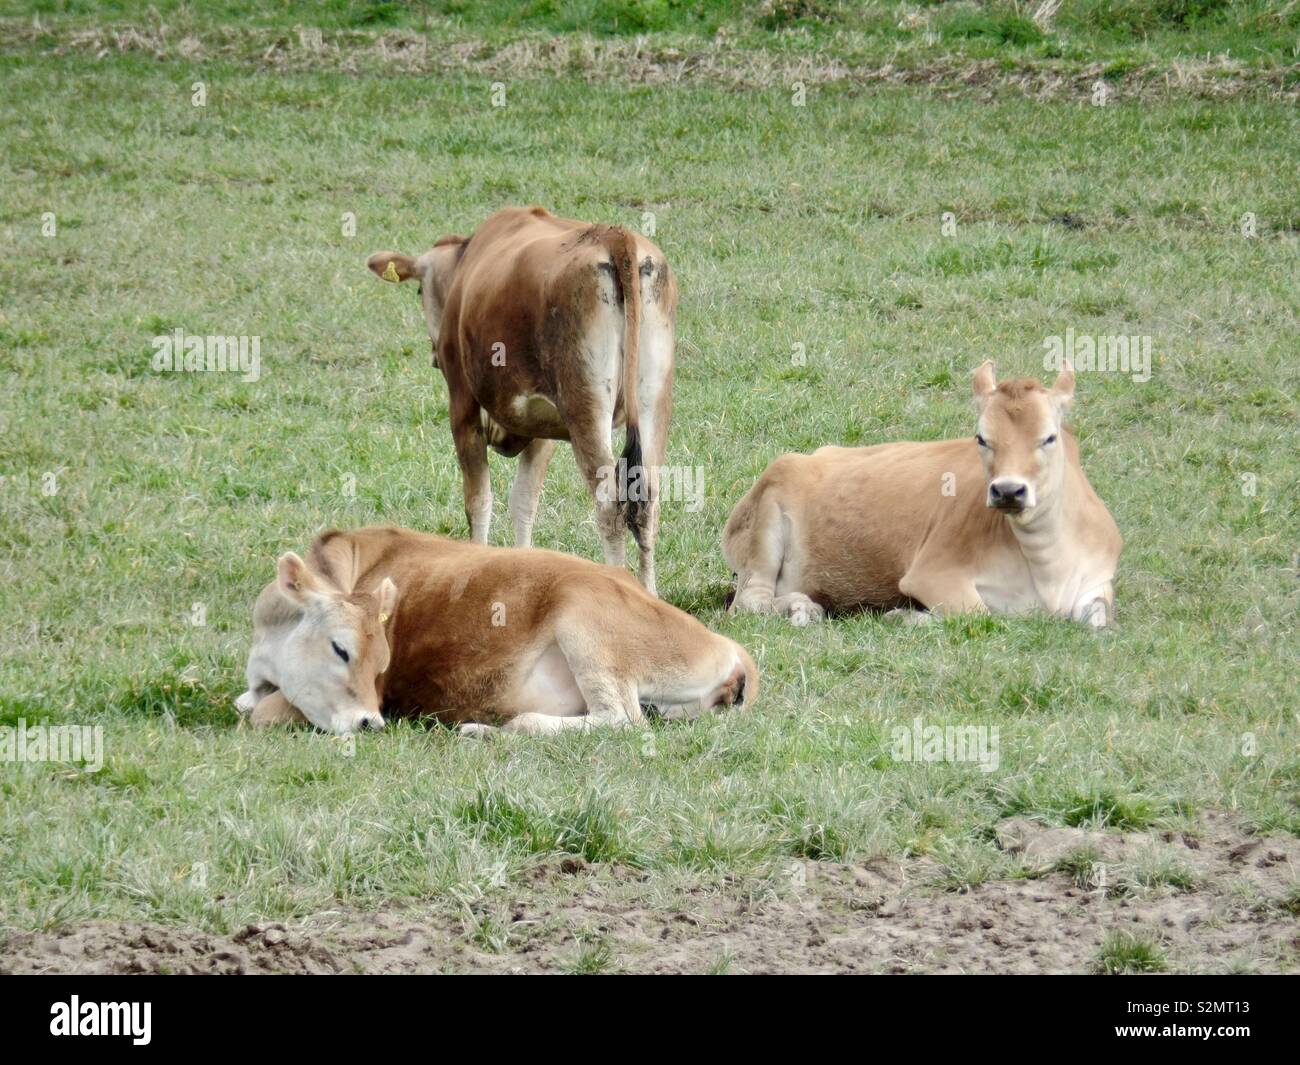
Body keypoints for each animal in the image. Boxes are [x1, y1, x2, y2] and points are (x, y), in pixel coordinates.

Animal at [235, 526, 757, 736]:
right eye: (341, 649)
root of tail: (729, 646)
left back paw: (491, 729)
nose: (371, 723)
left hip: (583, 617)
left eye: (380, 662)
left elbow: (262, 713)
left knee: (619, 719)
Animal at [367, 207, 677, 595]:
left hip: (584, 405)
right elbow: (524, 501)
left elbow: (478, 501)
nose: (434, 354)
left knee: (610, 503)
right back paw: (650, 596)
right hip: (652, 400)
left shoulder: (463, 406)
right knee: (649, 500)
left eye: (420, 289)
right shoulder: (544, 425)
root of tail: (615, 236)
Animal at [722, 361, 1121, 627]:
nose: (1009, 490)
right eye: (982, 438)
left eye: (1049, 437)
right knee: (750, 600)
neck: (1046, 567)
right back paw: (801, 608)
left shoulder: (1099, 580)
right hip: (765, 525)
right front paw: (906, 614)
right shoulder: (933, 572)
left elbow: (1100, 619)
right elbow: (979, 614)